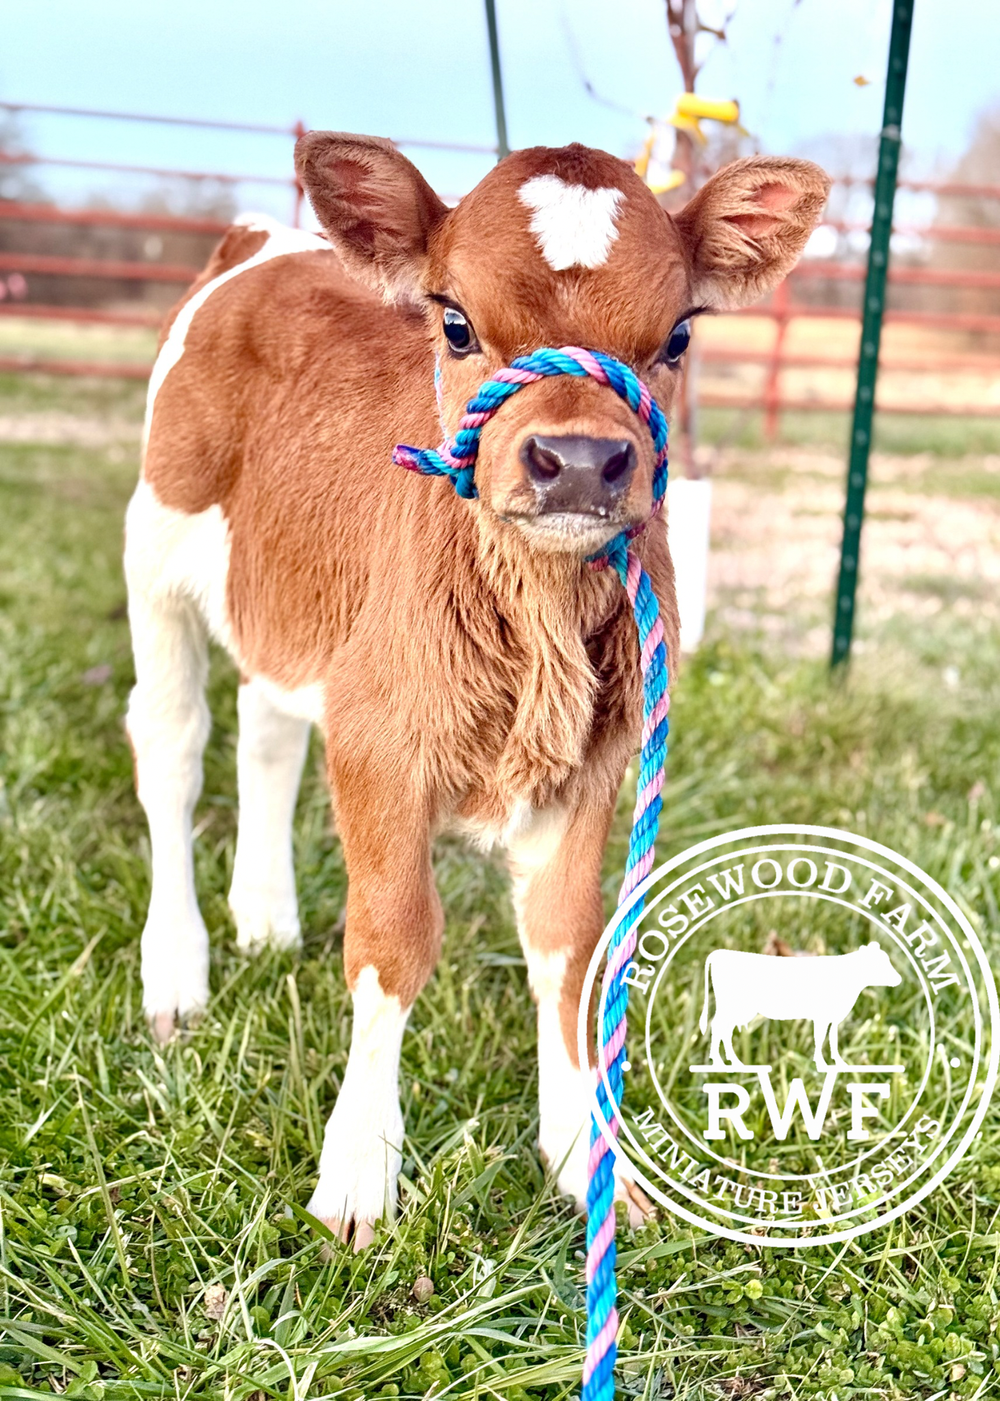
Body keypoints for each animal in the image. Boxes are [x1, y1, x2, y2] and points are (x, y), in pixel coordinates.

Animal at [125, 130, 829, 1248]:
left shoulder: (598, 763)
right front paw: (358, 1171)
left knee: (267, 728)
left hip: (292, 598)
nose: (578, 460)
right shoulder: (379, 737)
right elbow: (394, 942)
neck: (535, 634)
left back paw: (266, 917)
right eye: (454, 322)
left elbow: (569, 947)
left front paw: (586, 1158)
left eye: (678, 333)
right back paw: (177, 970)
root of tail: (268, 236)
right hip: (154, 554)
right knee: (173, 754)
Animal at [698, 941, 902, 1070]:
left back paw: (735, 1063)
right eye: (880, 963)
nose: (899, 979)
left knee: (725, 1030)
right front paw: (821, 1064)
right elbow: (820, 1038)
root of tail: (720, 953)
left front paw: (839, 1063)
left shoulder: (835, 1017)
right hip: (734, 1007)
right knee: (718, 1027)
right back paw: (719, 1063)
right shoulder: (821, 1017)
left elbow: (833, 1039)